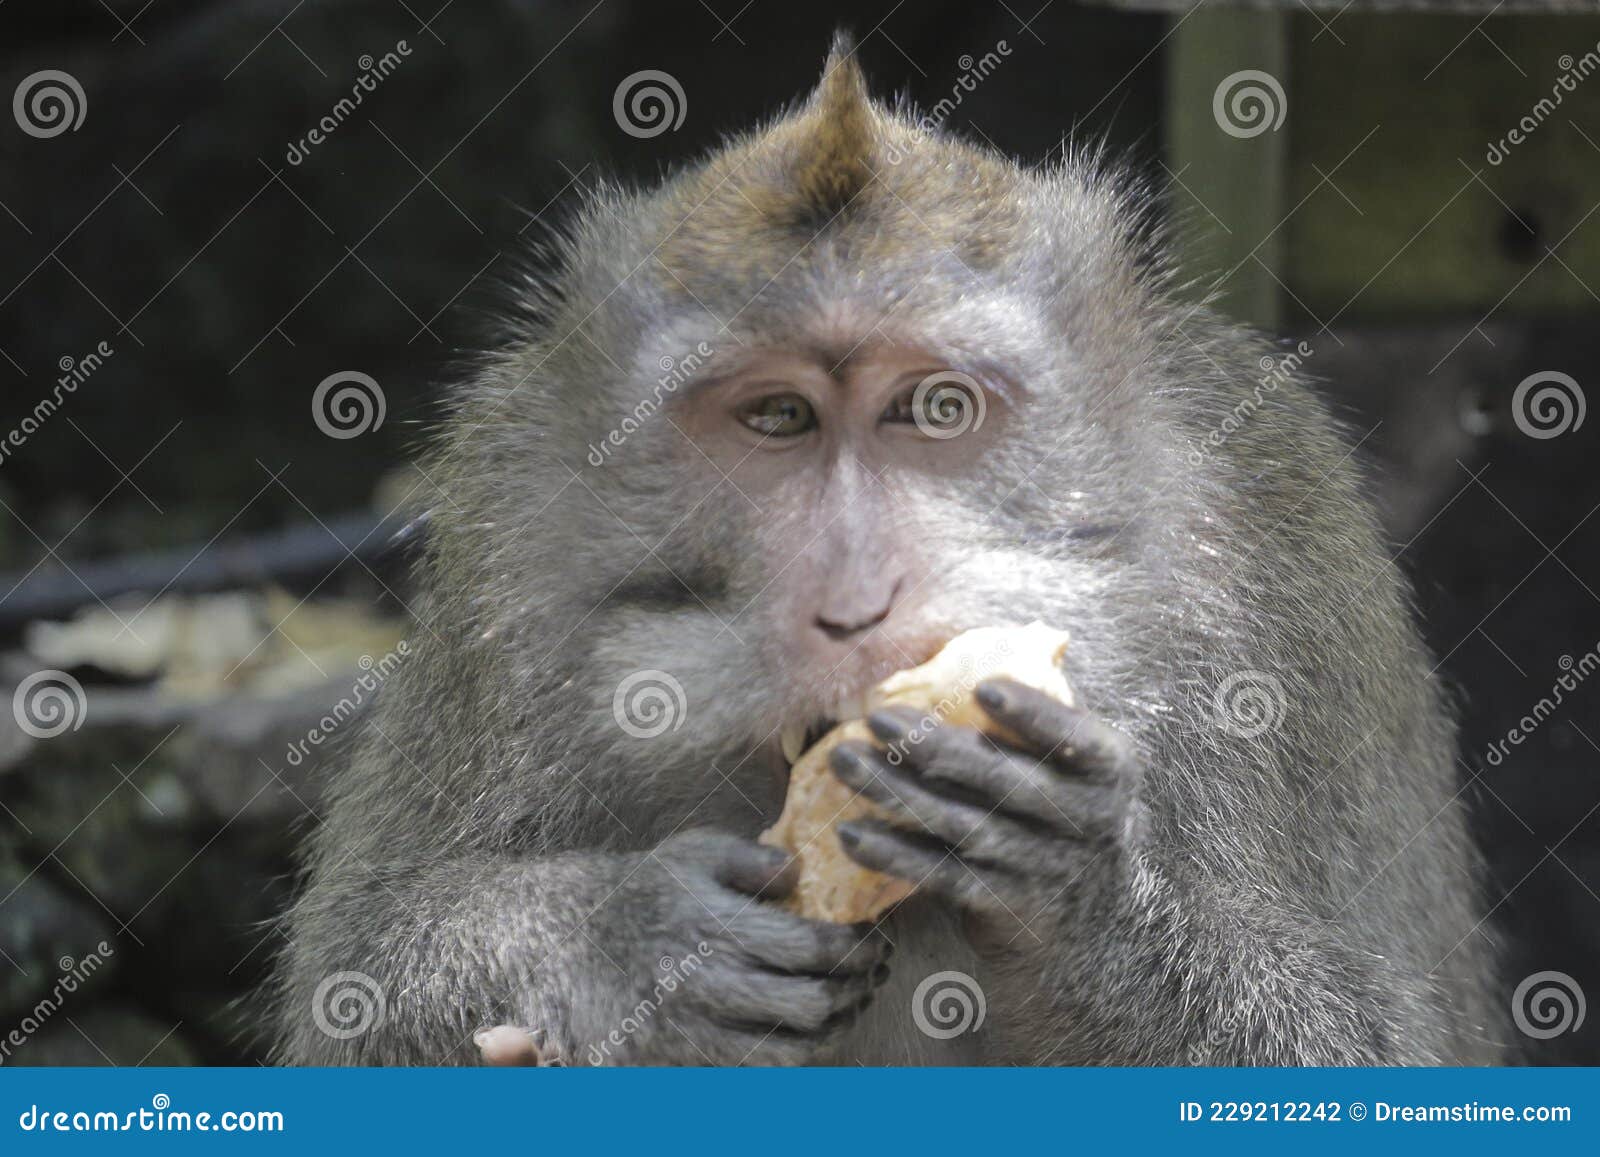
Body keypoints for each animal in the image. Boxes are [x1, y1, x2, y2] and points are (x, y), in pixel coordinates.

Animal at [271, 36, 1504, 1066]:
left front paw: (1081, 898)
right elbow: (354, 984)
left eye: (935, 407)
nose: (854, 603)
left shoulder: (1255, 549)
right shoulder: (511, 545)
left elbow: (1383, 1045)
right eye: (777, 417)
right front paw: (628, 945)